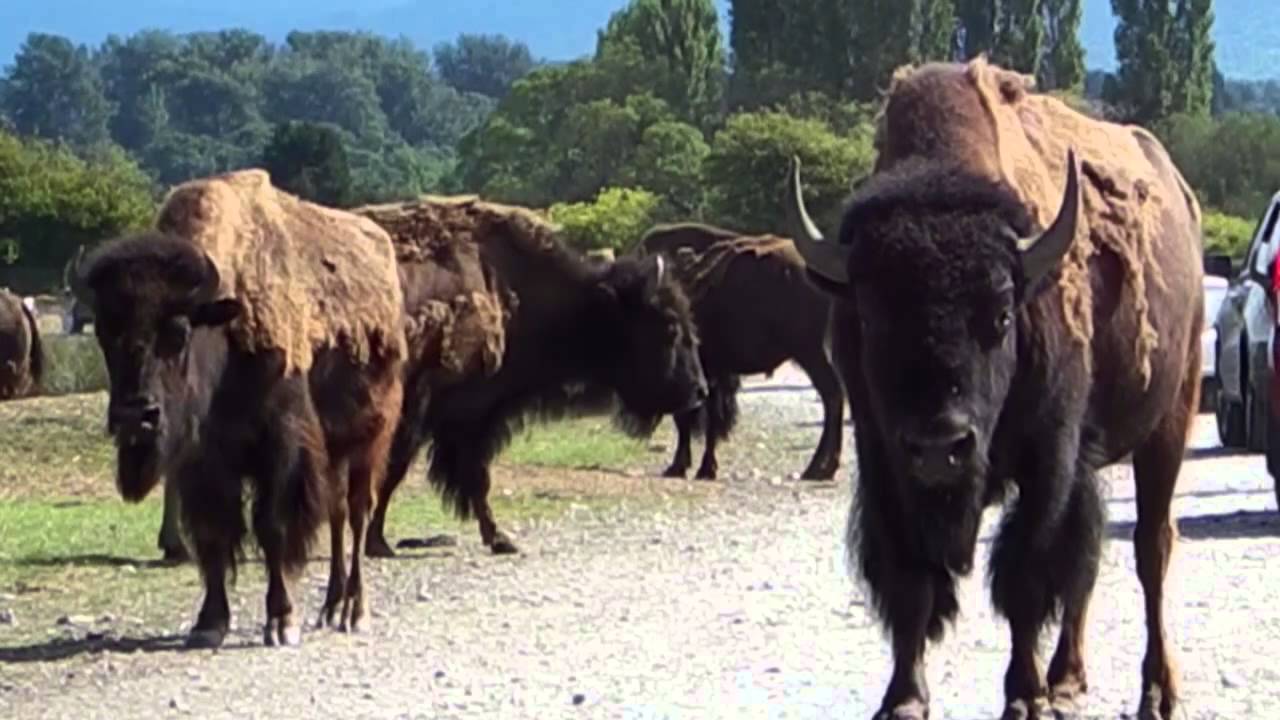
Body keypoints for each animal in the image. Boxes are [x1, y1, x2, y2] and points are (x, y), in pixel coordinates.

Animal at [71, 169, 408, 648]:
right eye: (103, 333)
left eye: (178, 332)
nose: (136, 416)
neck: (223, 329)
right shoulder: (205, 462)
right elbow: (214, 532)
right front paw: (208, 623)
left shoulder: (280, 451)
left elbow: (271, 527)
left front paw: (281, 621)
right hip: (334, 454)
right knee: (337, 514)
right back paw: (329, 607)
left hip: (368, 440)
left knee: (358, 513)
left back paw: (353, 612)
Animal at [349, 196, 708, 557]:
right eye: (670, 326)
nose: (699, 390)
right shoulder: (441, 412)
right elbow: (406, 471)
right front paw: (379, 542)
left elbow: (467, 477)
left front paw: (499, 538)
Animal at [631, 223, 844, 480]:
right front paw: (696, 467)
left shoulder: (707, 373)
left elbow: (697, 418)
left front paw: (693, 468)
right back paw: (824, 468)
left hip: (811, 353)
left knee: (832, 397)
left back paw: (817, 468)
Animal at [787, 59, 1203, 719]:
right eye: (872, 317)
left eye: (1003, 314)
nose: (941, 446)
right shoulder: (885, 462)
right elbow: (911, 581)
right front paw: (904, 699)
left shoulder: (1047, 462)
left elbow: (1026, 575)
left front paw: (1024, 696)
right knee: (1089, 559)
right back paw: (1067, 679)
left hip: (1170, 421)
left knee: (1150, 547)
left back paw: (1156, 691)